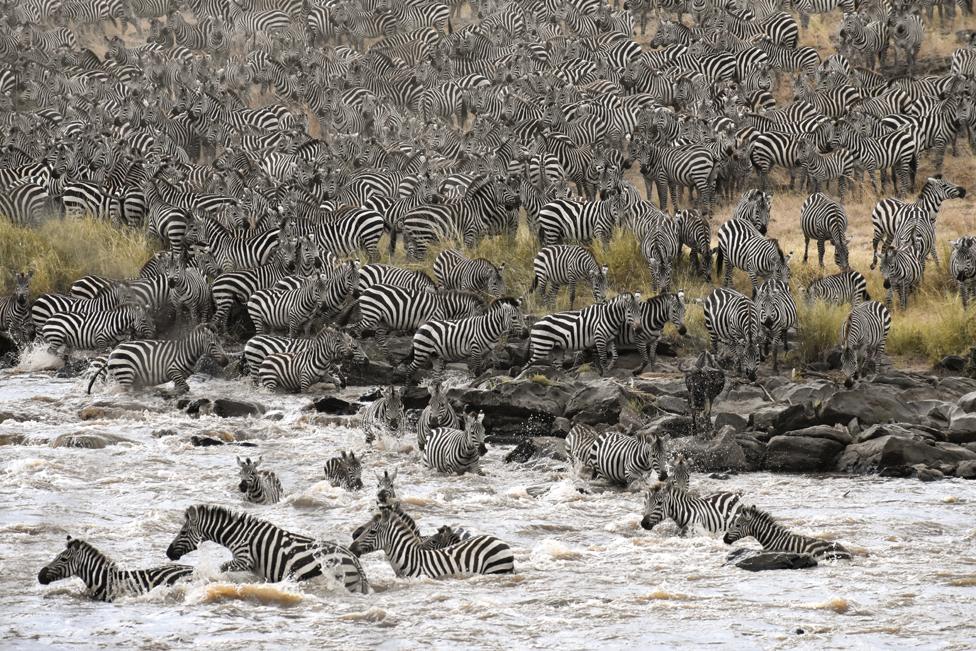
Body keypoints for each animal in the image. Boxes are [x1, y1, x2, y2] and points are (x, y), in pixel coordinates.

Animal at [86, 325, 226, 395]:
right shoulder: (173, 371)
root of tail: (113, 352)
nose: (227, 361)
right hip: (125, 375)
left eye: (221, 343)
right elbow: (186, 388)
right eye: (213, 344)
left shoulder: (181, 376)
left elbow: (180, 389)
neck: (186, 352)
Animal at [166, 504, 369, 593]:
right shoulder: (255, 568)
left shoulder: (245, 559)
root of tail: (352, 557)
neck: (237, 533)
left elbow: (222, 567)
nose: (168, 552)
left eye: (183, 532)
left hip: (345, 581)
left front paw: (214, 579)